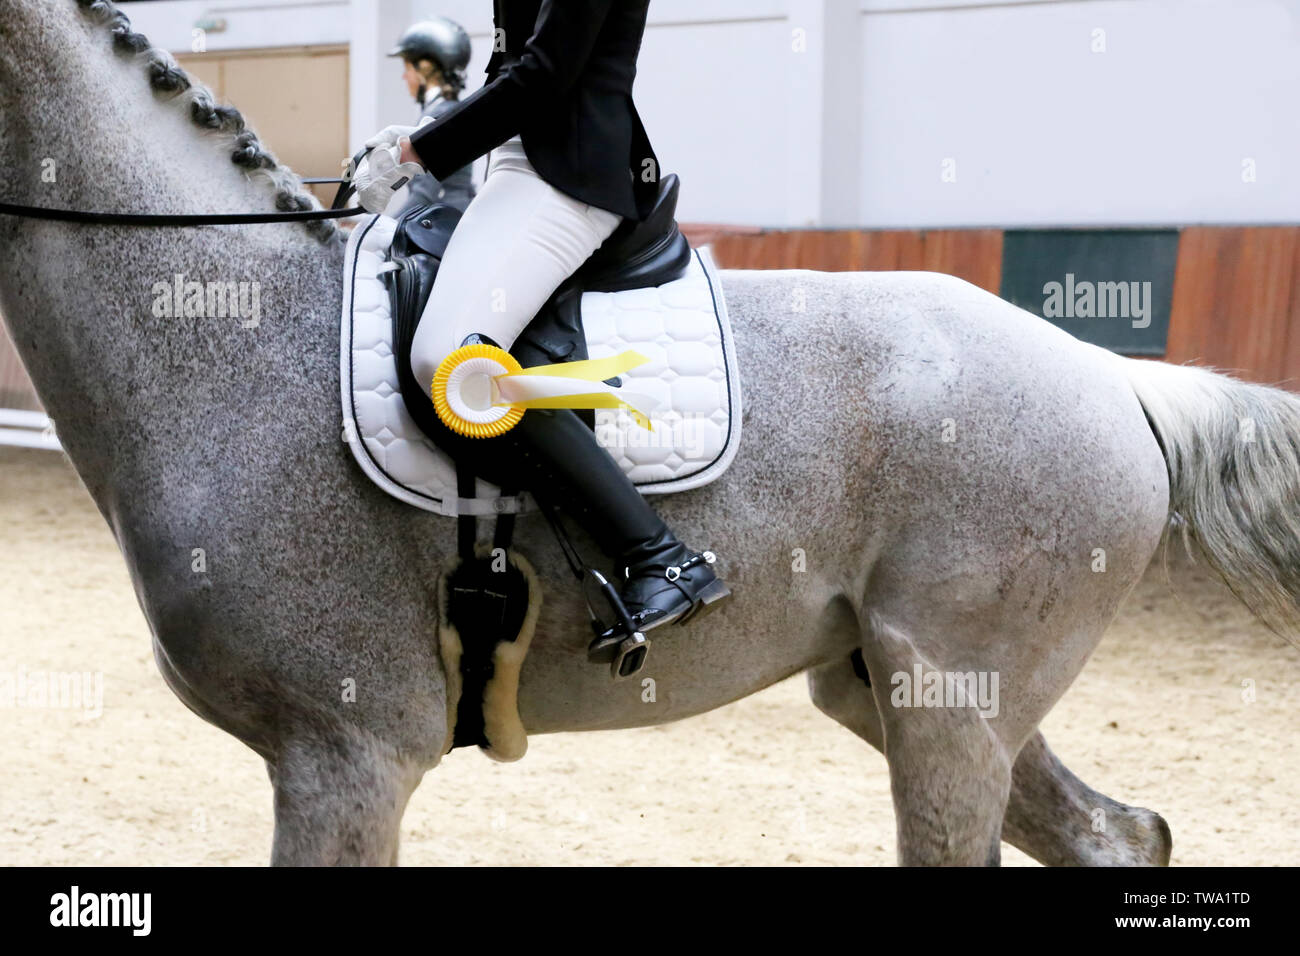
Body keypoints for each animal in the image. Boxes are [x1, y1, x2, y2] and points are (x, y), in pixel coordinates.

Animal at [3, 0, 1297, 866]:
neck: (236, 327)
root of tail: (1109, 374)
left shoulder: (344, 752)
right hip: (894, 686)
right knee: (1121, 836)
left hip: (949, 702)